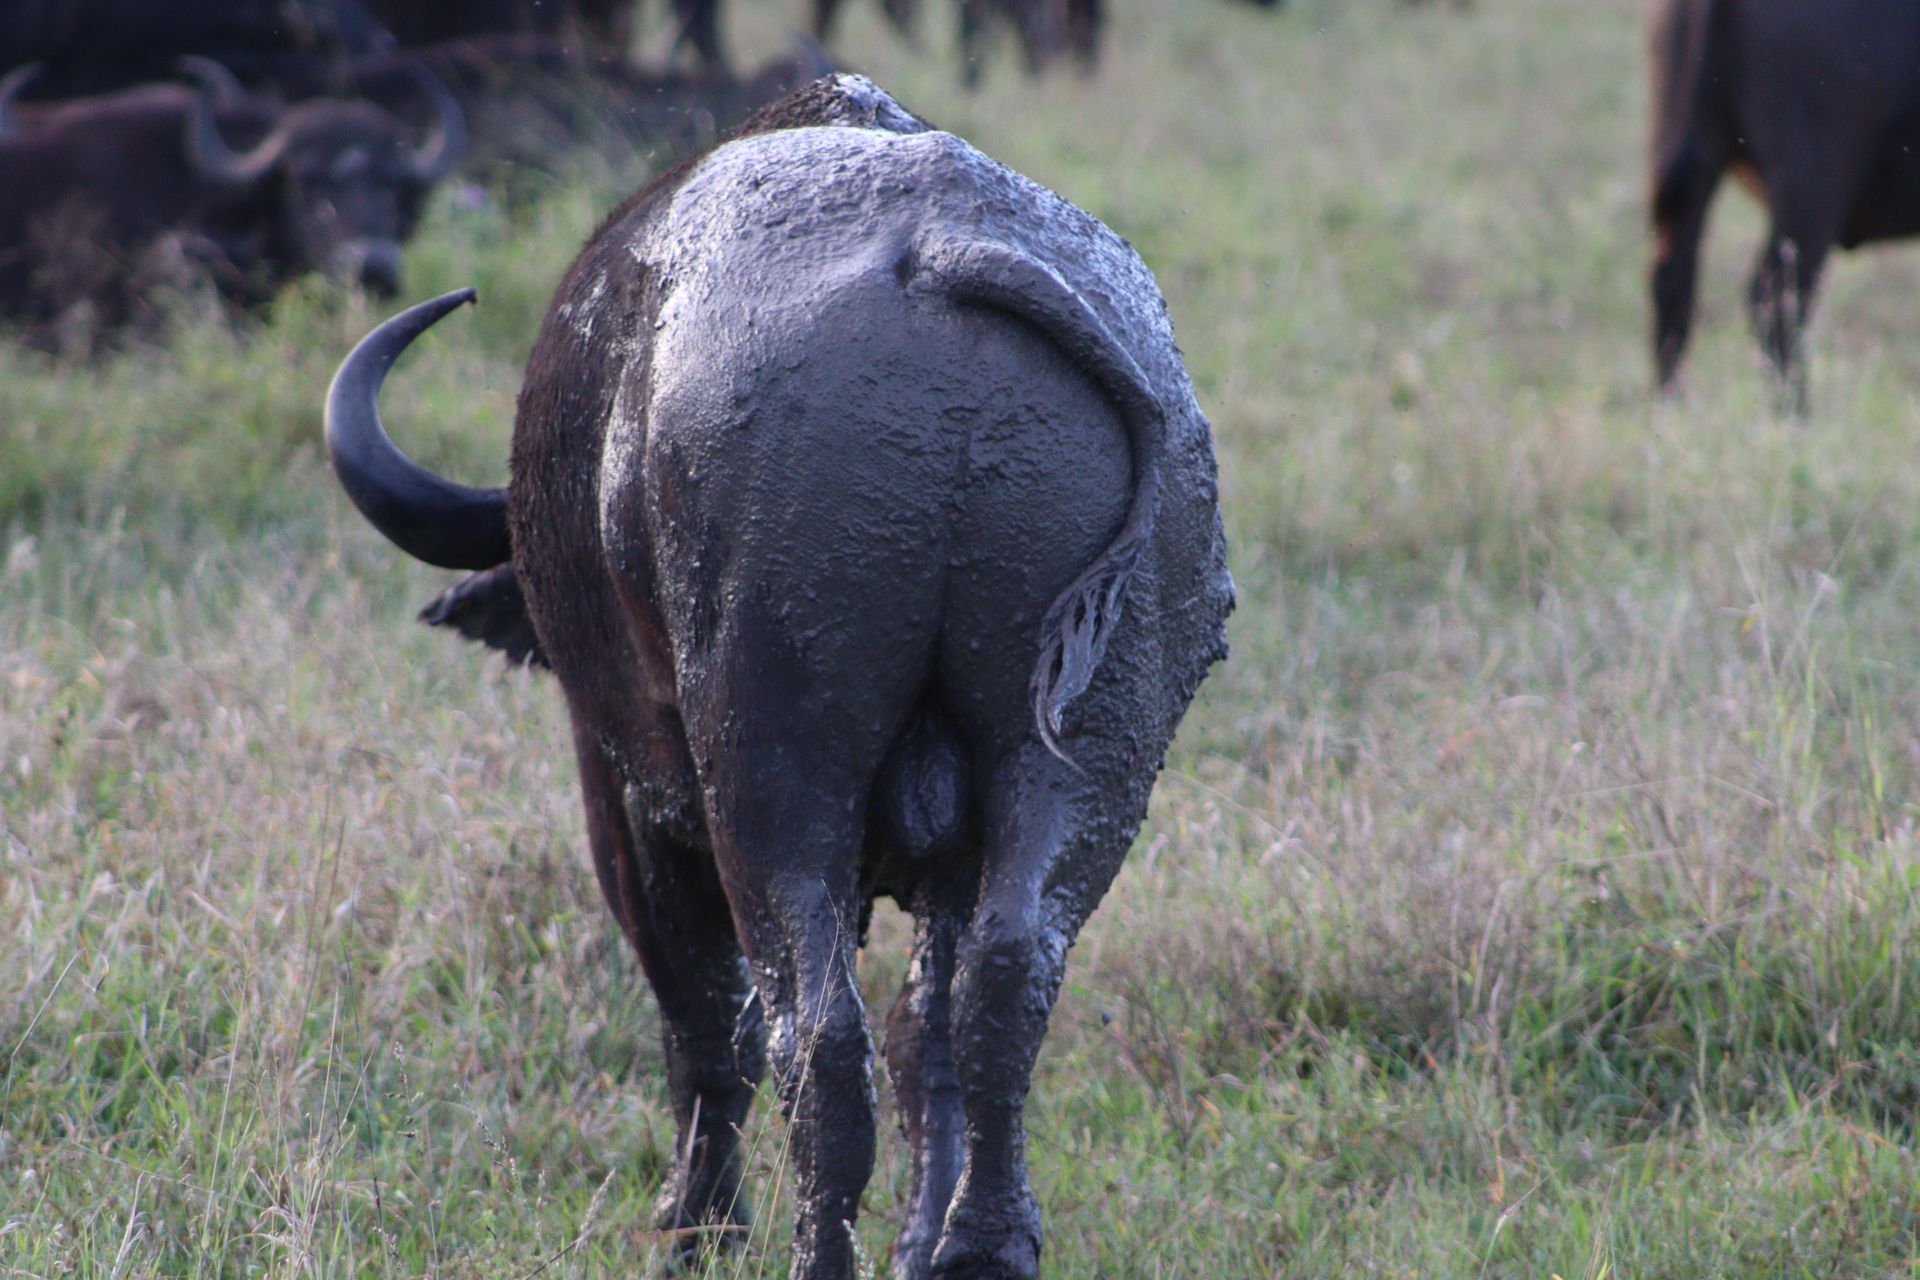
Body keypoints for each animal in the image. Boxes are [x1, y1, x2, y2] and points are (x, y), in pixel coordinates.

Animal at [324, 73, 1231, 1280]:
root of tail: (939, 250)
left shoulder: (629, 798)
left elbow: (708, 1020)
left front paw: (694, 1225)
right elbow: (927, 1026)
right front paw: (919, 1236)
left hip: (771, 770)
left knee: (814, 1030)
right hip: (1089, 756)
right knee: (1004, 981)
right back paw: (979, 1243)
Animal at [1650, 0, 1920, 407]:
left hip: (1686, 155)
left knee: (1673, 284)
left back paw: (1671, 407)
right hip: (1810, 189)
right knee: (1777, 298)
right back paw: (1797, 414)